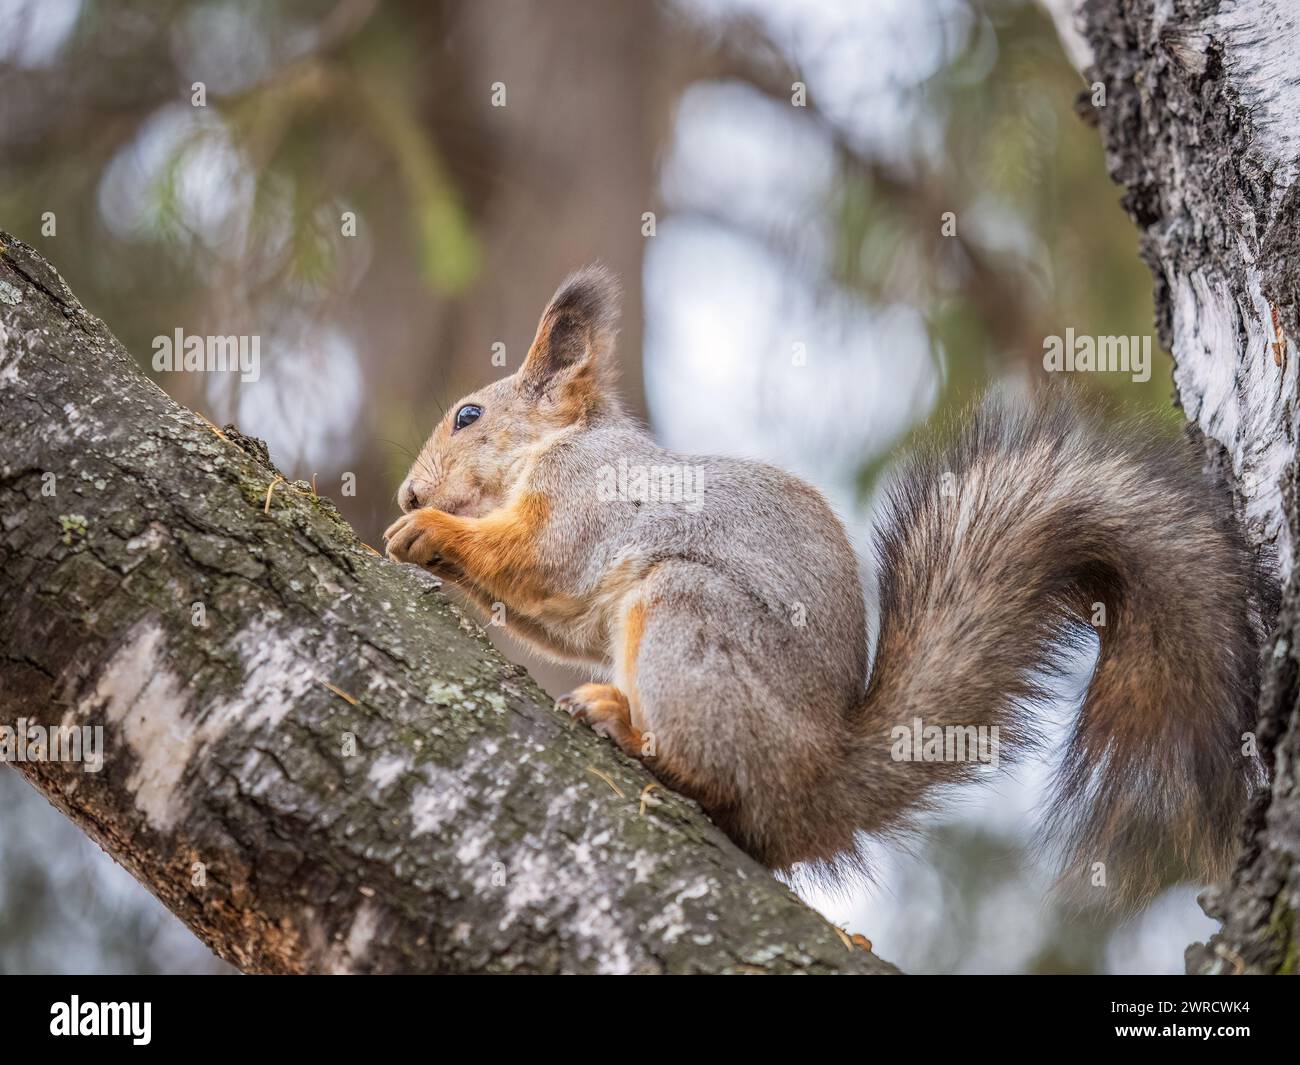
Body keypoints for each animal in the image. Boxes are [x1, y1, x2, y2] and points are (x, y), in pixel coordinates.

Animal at [385, 265, 1272, 908]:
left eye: (467, 415)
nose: (405, 491)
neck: (562, 444)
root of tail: (818, 780)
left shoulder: (586, 501)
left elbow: (542, 558)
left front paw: (432, 533)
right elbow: (553, 616)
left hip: (689, 618)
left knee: (723, 783)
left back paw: (631, 729)